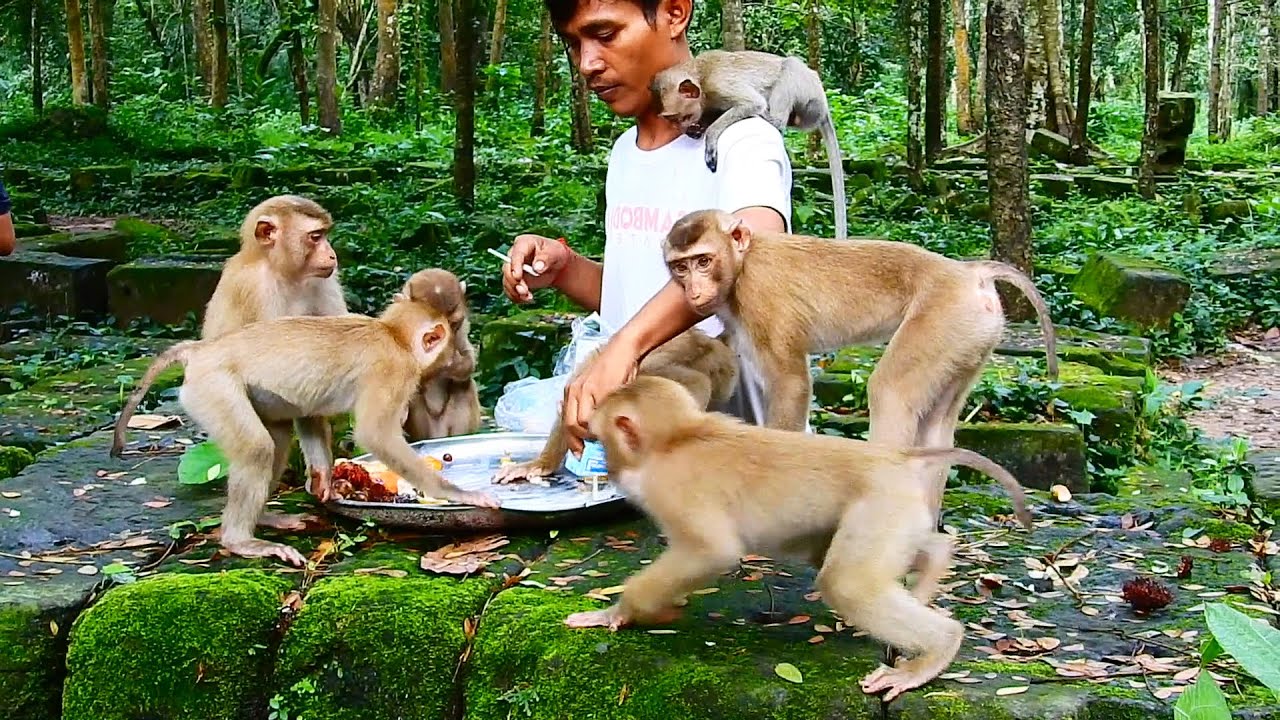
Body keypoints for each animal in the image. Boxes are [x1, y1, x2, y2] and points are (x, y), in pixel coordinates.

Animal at [201, 195, 350, 516]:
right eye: (316, 237)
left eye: (325, 235)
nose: (332, 255)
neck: (281, 271)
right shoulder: (256, 289)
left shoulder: (323, 282)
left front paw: (322, 473)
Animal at [402, 268, 483, 441]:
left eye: (453, 324)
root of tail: (438, 434)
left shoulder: (462, 327)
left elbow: (467, 355)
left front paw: (454, 364)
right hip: (422, 429)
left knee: (463, 384)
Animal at [561, 375, 1033, 702]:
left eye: (600, 438)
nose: (608, 470)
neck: (678, 436)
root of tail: (896, 457)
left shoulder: (672, 487)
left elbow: (711, 551)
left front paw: (619, 611)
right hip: (896, 512)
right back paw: (934, 560)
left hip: (882, 505)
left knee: (848, 583)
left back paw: (936, 651)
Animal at [651, 49, 847, 240]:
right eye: (674, 121)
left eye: (684, 117)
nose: (685, 129)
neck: (701, 76)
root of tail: (823, 106)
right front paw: (701, 127)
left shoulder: (718, 85)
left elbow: (752, 103)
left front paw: (710, 135)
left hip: (809, 94)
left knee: (789, 67)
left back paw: (772, 119)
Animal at [662, 209, 1058, 526]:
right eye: (681, 266)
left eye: (703, 261)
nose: (692, 291)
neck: (741, 266)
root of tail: (968, 272)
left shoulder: (762, 299)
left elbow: (791, 385)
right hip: (970, 335)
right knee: (937, 424)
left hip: (943, 316)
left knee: (891, 393)